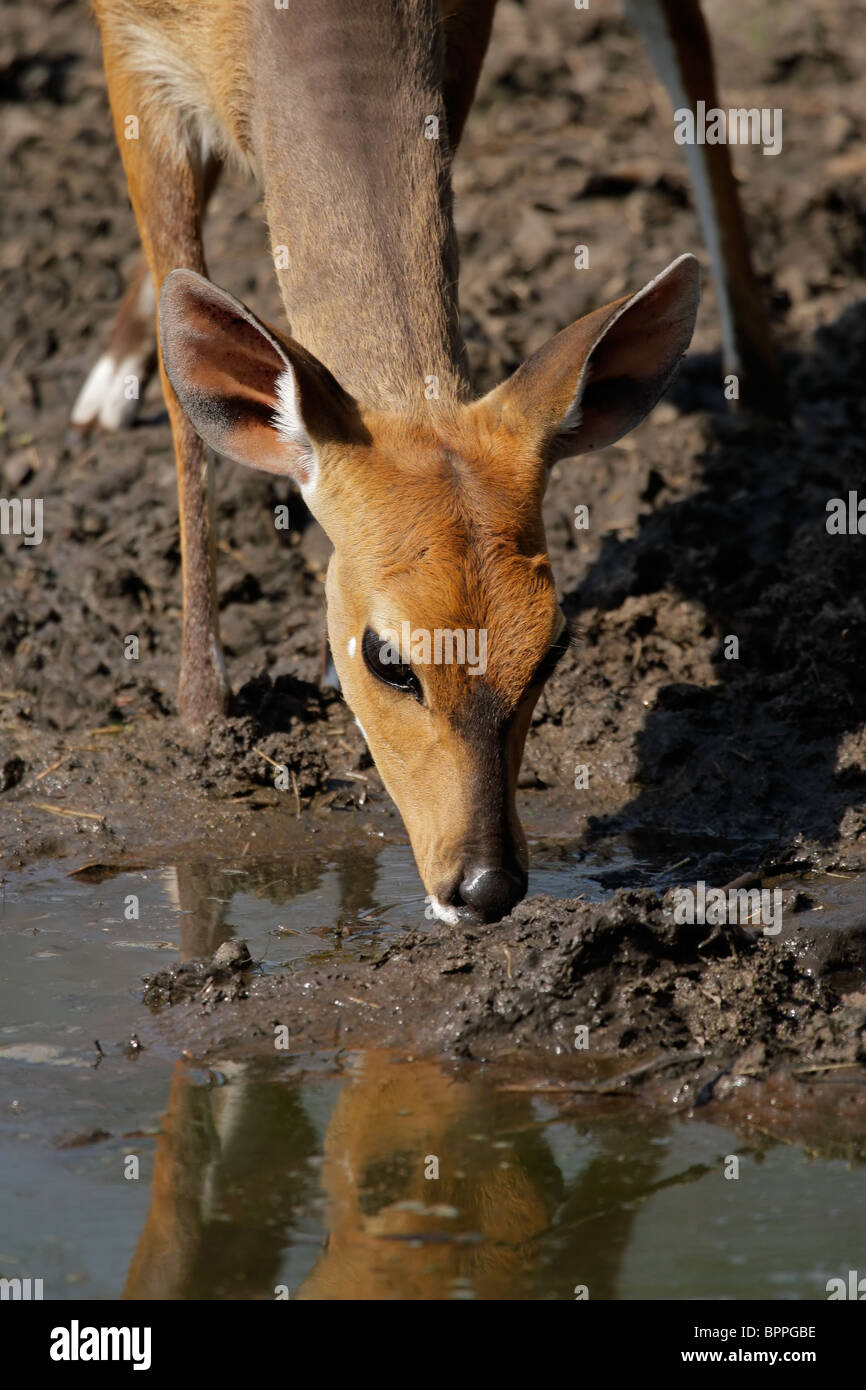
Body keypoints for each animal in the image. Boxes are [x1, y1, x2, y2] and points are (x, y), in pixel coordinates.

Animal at [75, 0, 776, 925]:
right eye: (387, 659)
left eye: (553, 645)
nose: (484, 886)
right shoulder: (130, 49)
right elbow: (185, 380)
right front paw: (202, 714)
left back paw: (762, 383)